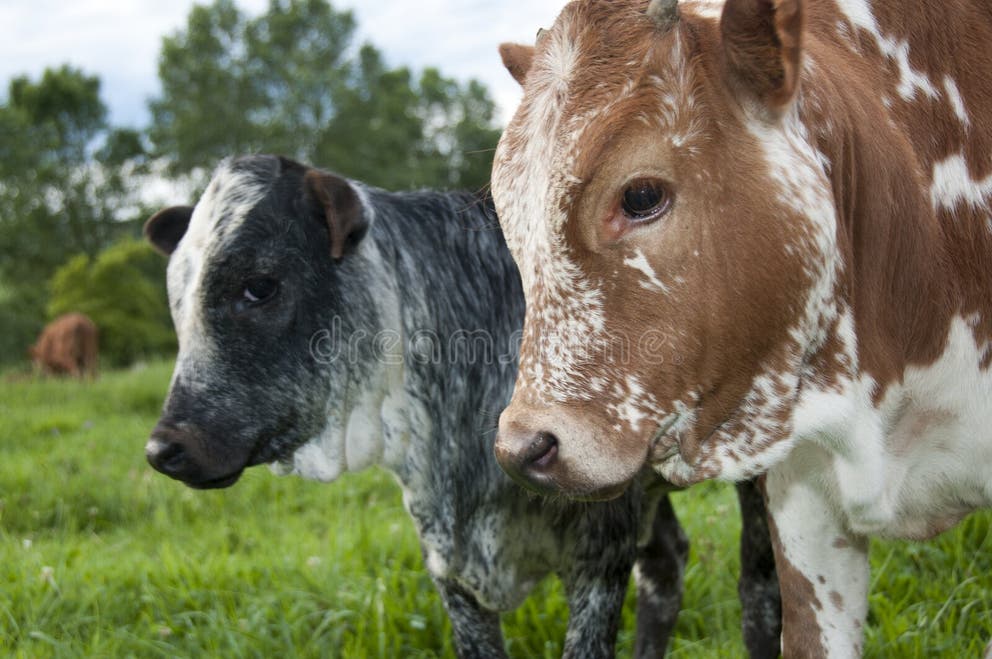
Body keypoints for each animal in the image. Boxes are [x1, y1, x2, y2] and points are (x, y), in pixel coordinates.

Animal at [141, 154, 782, 657]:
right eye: (176, 301)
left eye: (261, 285)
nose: (164, 448)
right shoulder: (451, 571)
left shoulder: (599, 553)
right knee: (667, 565)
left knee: (759, 586)